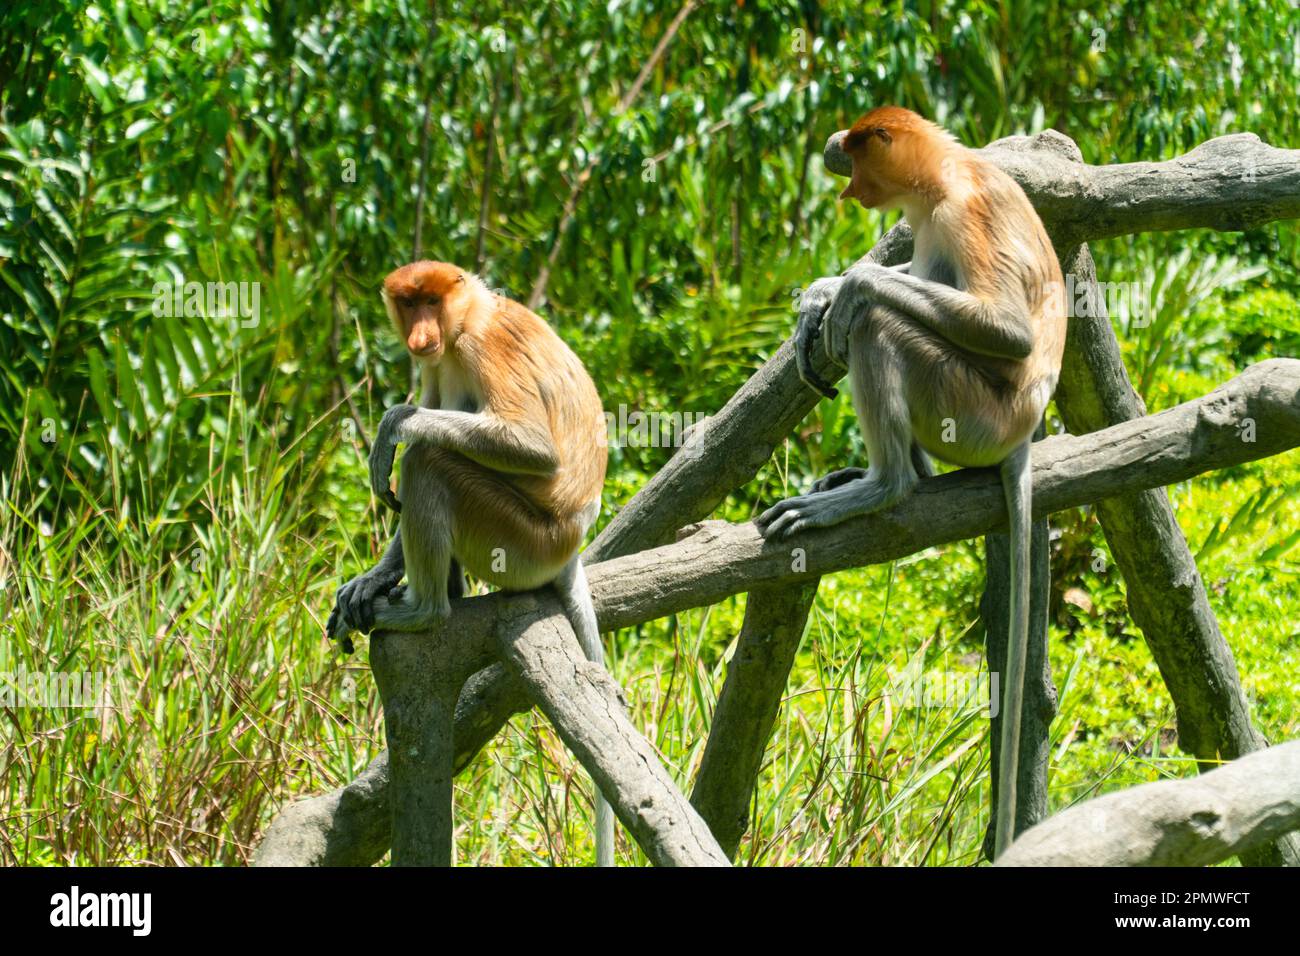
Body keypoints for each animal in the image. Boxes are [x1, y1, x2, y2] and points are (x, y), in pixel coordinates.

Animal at [325, 260, 615, 867]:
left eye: (432, 302)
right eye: (409, 303)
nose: (420, 335)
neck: (467, 320)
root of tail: (571, 544)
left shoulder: (483, 346)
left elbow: (530, 446)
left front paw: (394, 422)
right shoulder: (436, 363)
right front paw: (372, 578)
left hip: (521, 539)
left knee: (431, 459)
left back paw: (426, 610)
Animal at [756, 107, 1066, 859]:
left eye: (855, 148)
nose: (837, 161)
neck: (949, 173)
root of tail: (1022, 432)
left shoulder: (961, 213)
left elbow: (1005, 331)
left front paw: (846, 286)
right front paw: (819, 294)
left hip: (972, 409)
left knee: (880, 328)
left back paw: (884, 485)